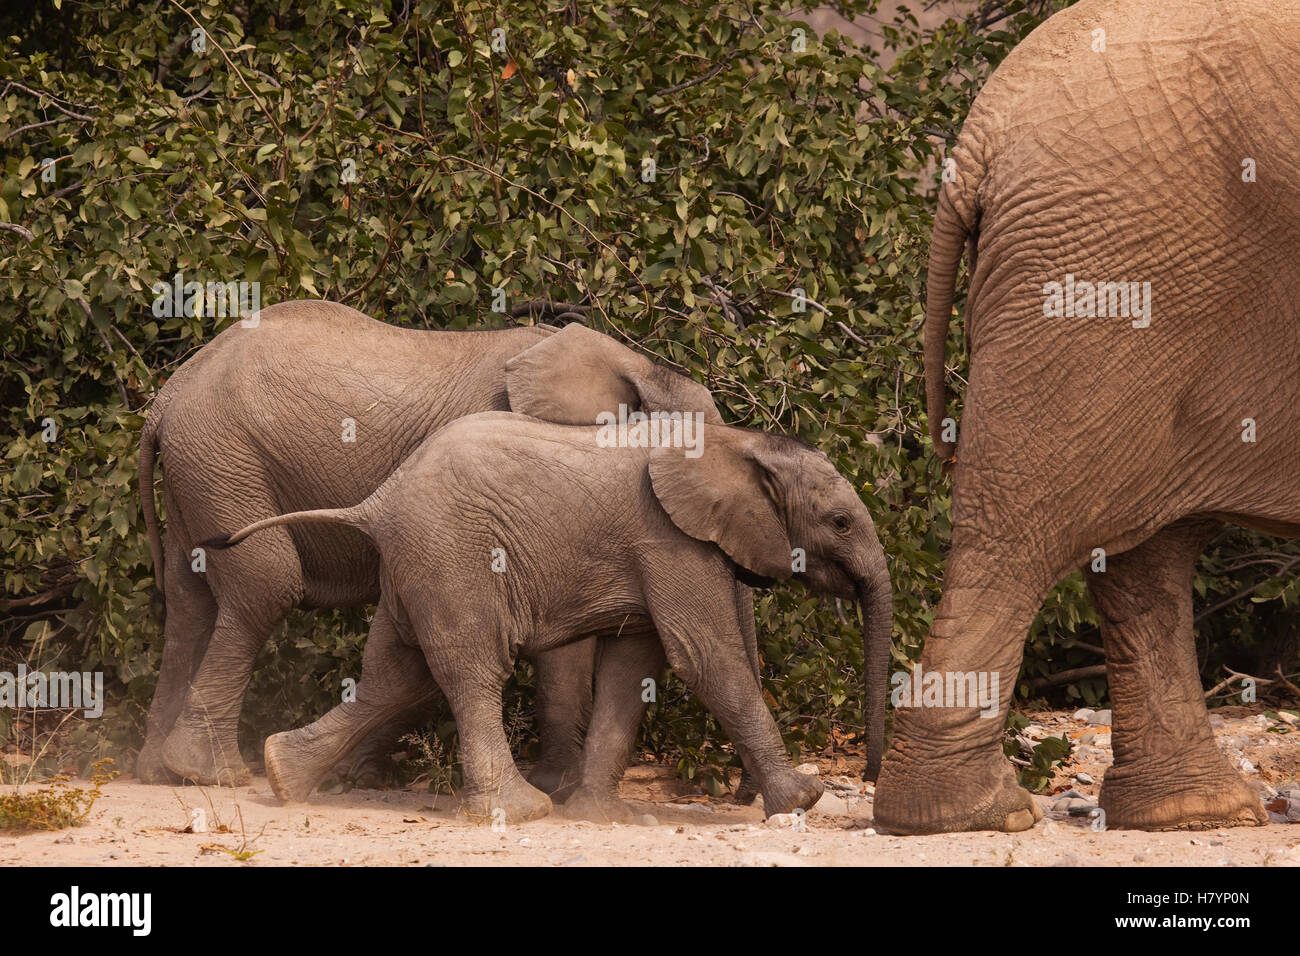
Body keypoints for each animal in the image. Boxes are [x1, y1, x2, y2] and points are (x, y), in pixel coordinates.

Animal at [137, 298, 763, 794]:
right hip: (223, 457)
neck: (633, 364)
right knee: (266, 585)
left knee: (189, 604)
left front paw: (356, 775)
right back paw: (211, 773)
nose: (743, 795)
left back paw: (155, 770)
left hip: (202, 469)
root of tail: (164, 399)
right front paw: (553, 790)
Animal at [203, 412, 894, 823]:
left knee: (392, 680)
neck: (739, 441)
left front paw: (598, 816)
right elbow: (702, 656)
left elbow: (633, 666)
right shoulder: (667, 539)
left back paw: (281, 775)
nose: (868, 774)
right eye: (839, 522)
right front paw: (802, 800)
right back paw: (519, 811)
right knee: (471, 671)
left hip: (415, 567)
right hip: (453, 555)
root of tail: (378, 500)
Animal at [873, 0, 1300, 833]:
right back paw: (973, 816)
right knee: (1022, 531)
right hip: (1112, 268)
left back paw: (1193, 814)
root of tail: (982, 134)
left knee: (1148, 550)